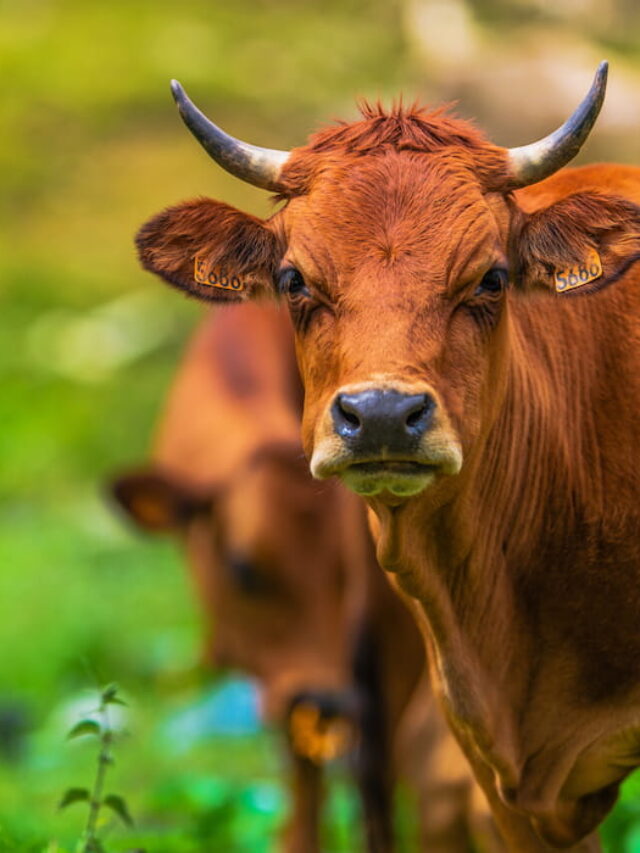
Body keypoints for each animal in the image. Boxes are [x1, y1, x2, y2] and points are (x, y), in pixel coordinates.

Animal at [110, 303, 500, 852]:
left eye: (352, 568)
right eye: (242, 568)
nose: (326, 699)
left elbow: (376, 764)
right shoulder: (282, 671)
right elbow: (302, 760)